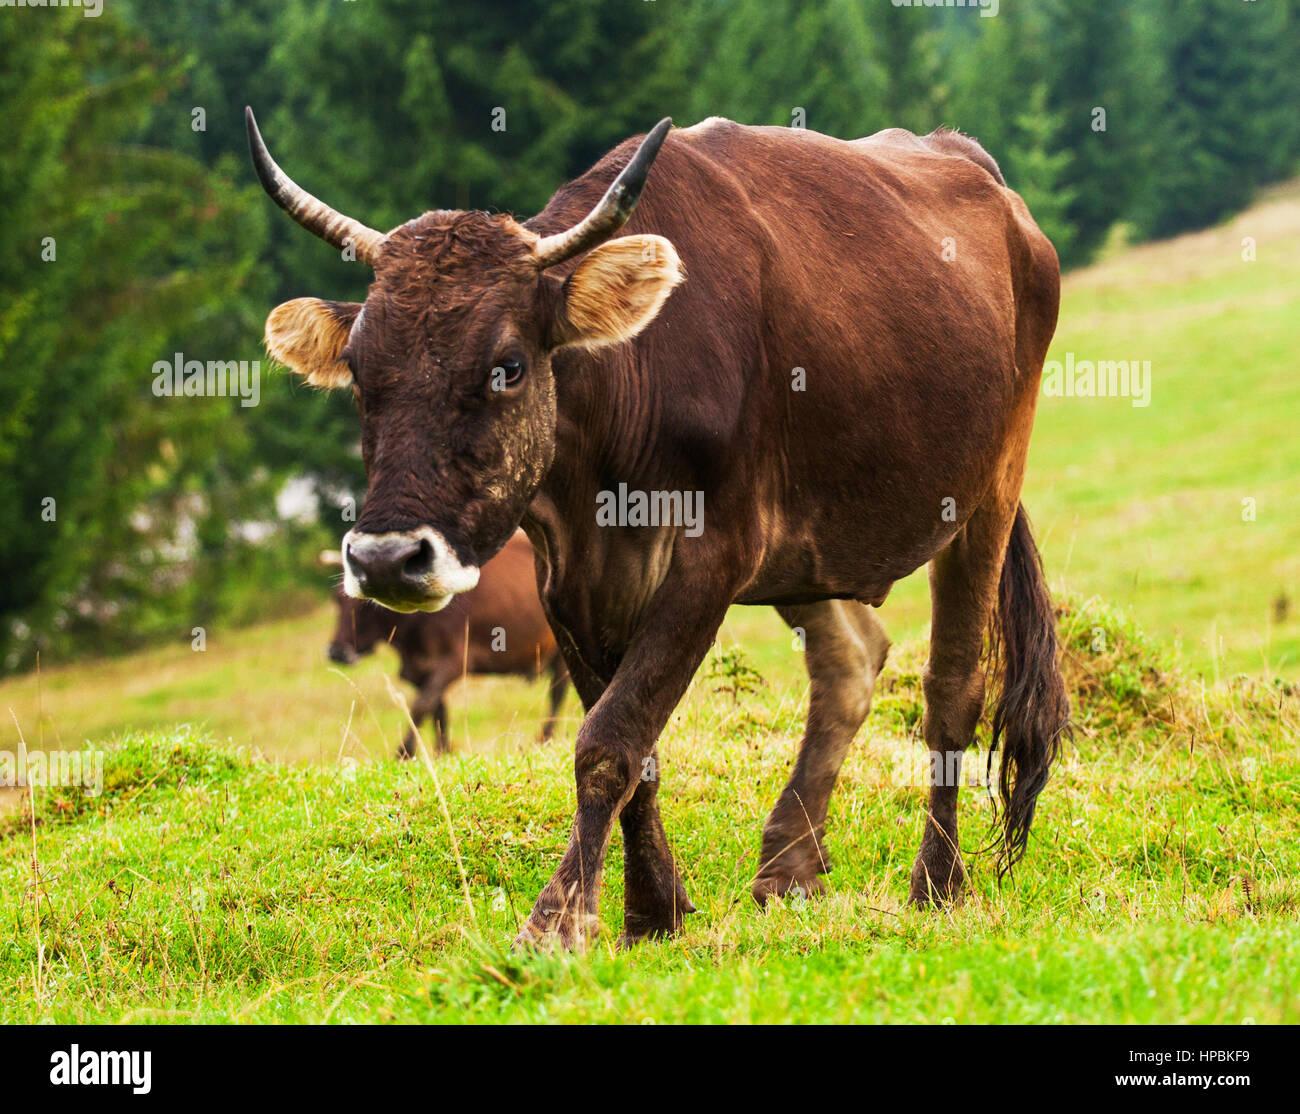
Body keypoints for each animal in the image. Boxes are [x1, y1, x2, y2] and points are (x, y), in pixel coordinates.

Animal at [323, 529, 569, 757]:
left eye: (368, 606)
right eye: (336, 600)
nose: (338, 652)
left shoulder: (455, 660)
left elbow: (422, 705)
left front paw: (404, 751)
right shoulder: (421, 669)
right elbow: (437, 709)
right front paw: (442, 750)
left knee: (557, 693)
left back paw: (544, 738)